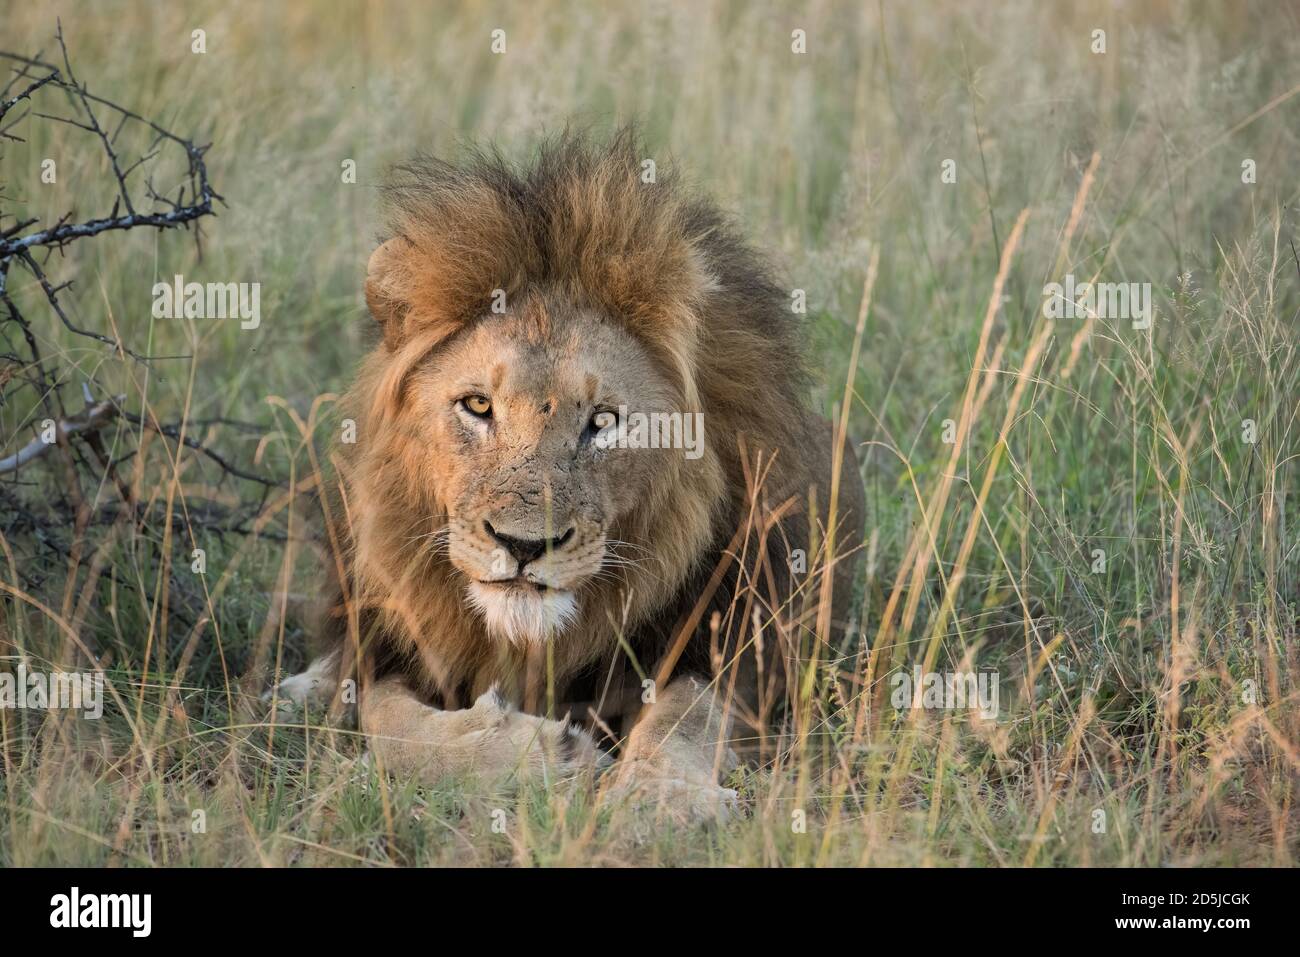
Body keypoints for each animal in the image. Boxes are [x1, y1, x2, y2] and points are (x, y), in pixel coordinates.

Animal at [269, 129, 864, 822]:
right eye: (478, 405)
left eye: (602, 422)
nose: (525, 546)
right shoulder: (391, 647)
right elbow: (388, 721)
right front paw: (546, 755)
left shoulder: (742, 646)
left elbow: (686, 715)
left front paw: (661, 798)